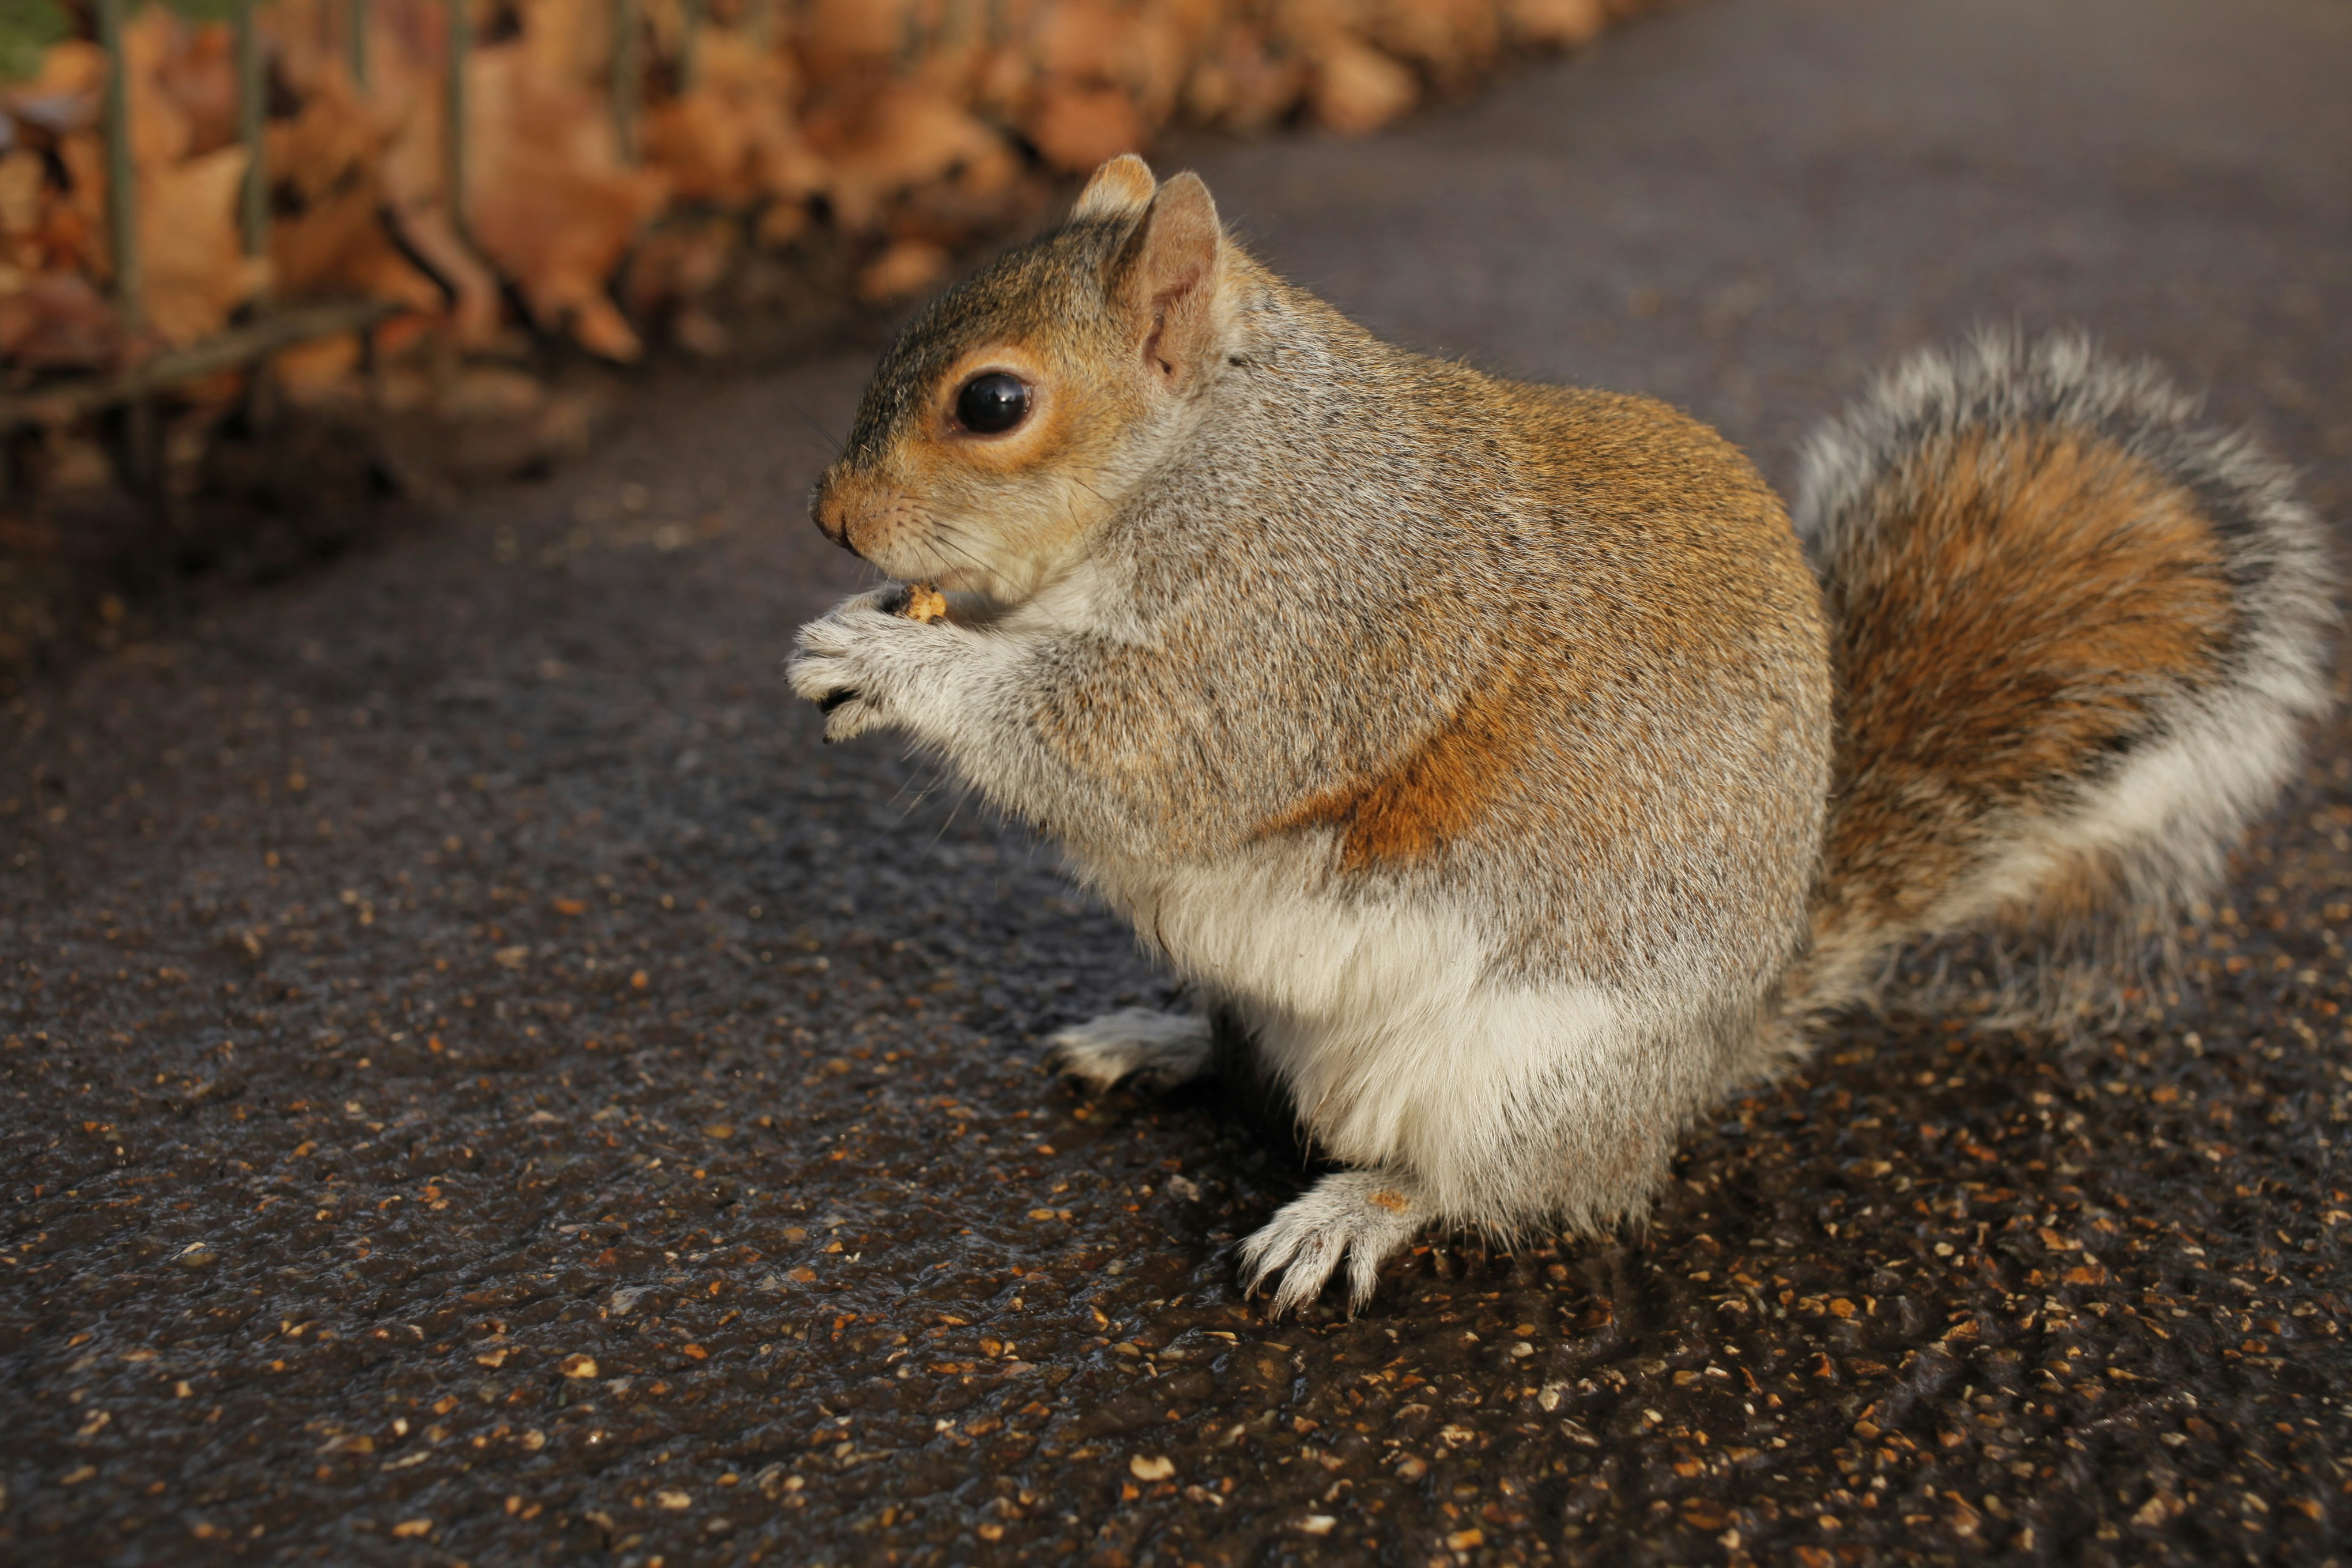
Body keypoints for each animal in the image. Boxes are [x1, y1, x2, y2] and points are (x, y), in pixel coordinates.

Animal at [789, 155, 2334, 1315]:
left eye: (994, 401)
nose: (832, 518)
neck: (1216, 453)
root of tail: (1709, 1057)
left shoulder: (1313, 621)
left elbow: (1141, 745)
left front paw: (893, 656)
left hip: (1526, 1075)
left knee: (1487, 1186)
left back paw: (1348, 1210)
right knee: (1244, 1057)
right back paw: (1155, 1035)